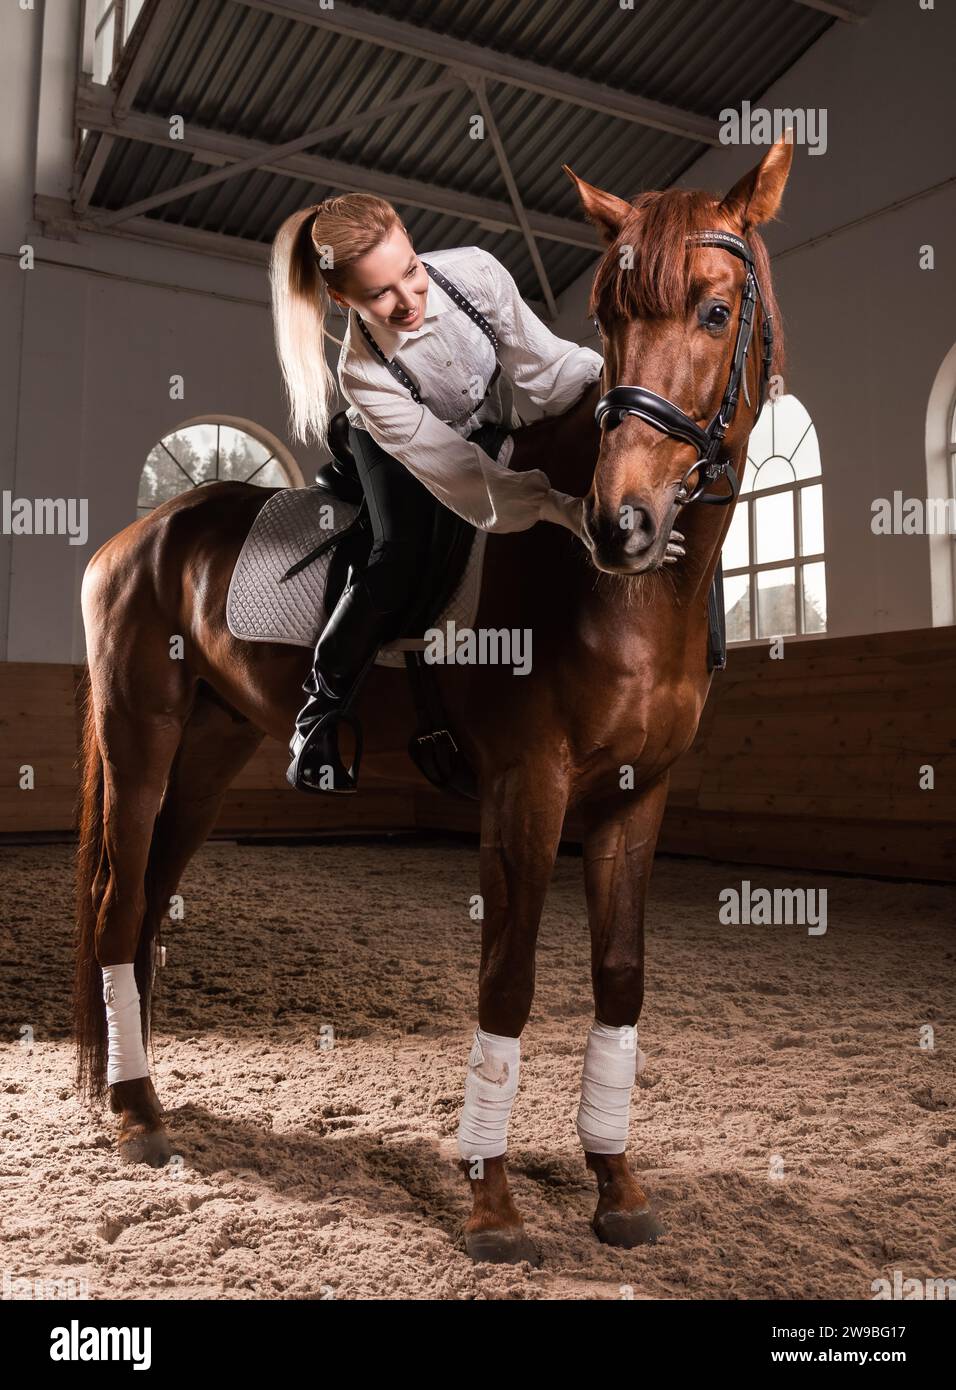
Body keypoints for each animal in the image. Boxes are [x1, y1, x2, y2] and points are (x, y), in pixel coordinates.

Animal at [74, 136, 791, 1264]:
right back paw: (136, 1116)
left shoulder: (638, 796)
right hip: (139, 741)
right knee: (115, 905)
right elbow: (507, 981)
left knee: (145, 906)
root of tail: (136, 538)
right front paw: (491, 1201)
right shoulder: (525, 789)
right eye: (607, 316)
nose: (618, 522)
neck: (617, 593)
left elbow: (620, 978)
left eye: (717, 312)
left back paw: (136, 1092)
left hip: (210, 752)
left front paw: (615, 1184)